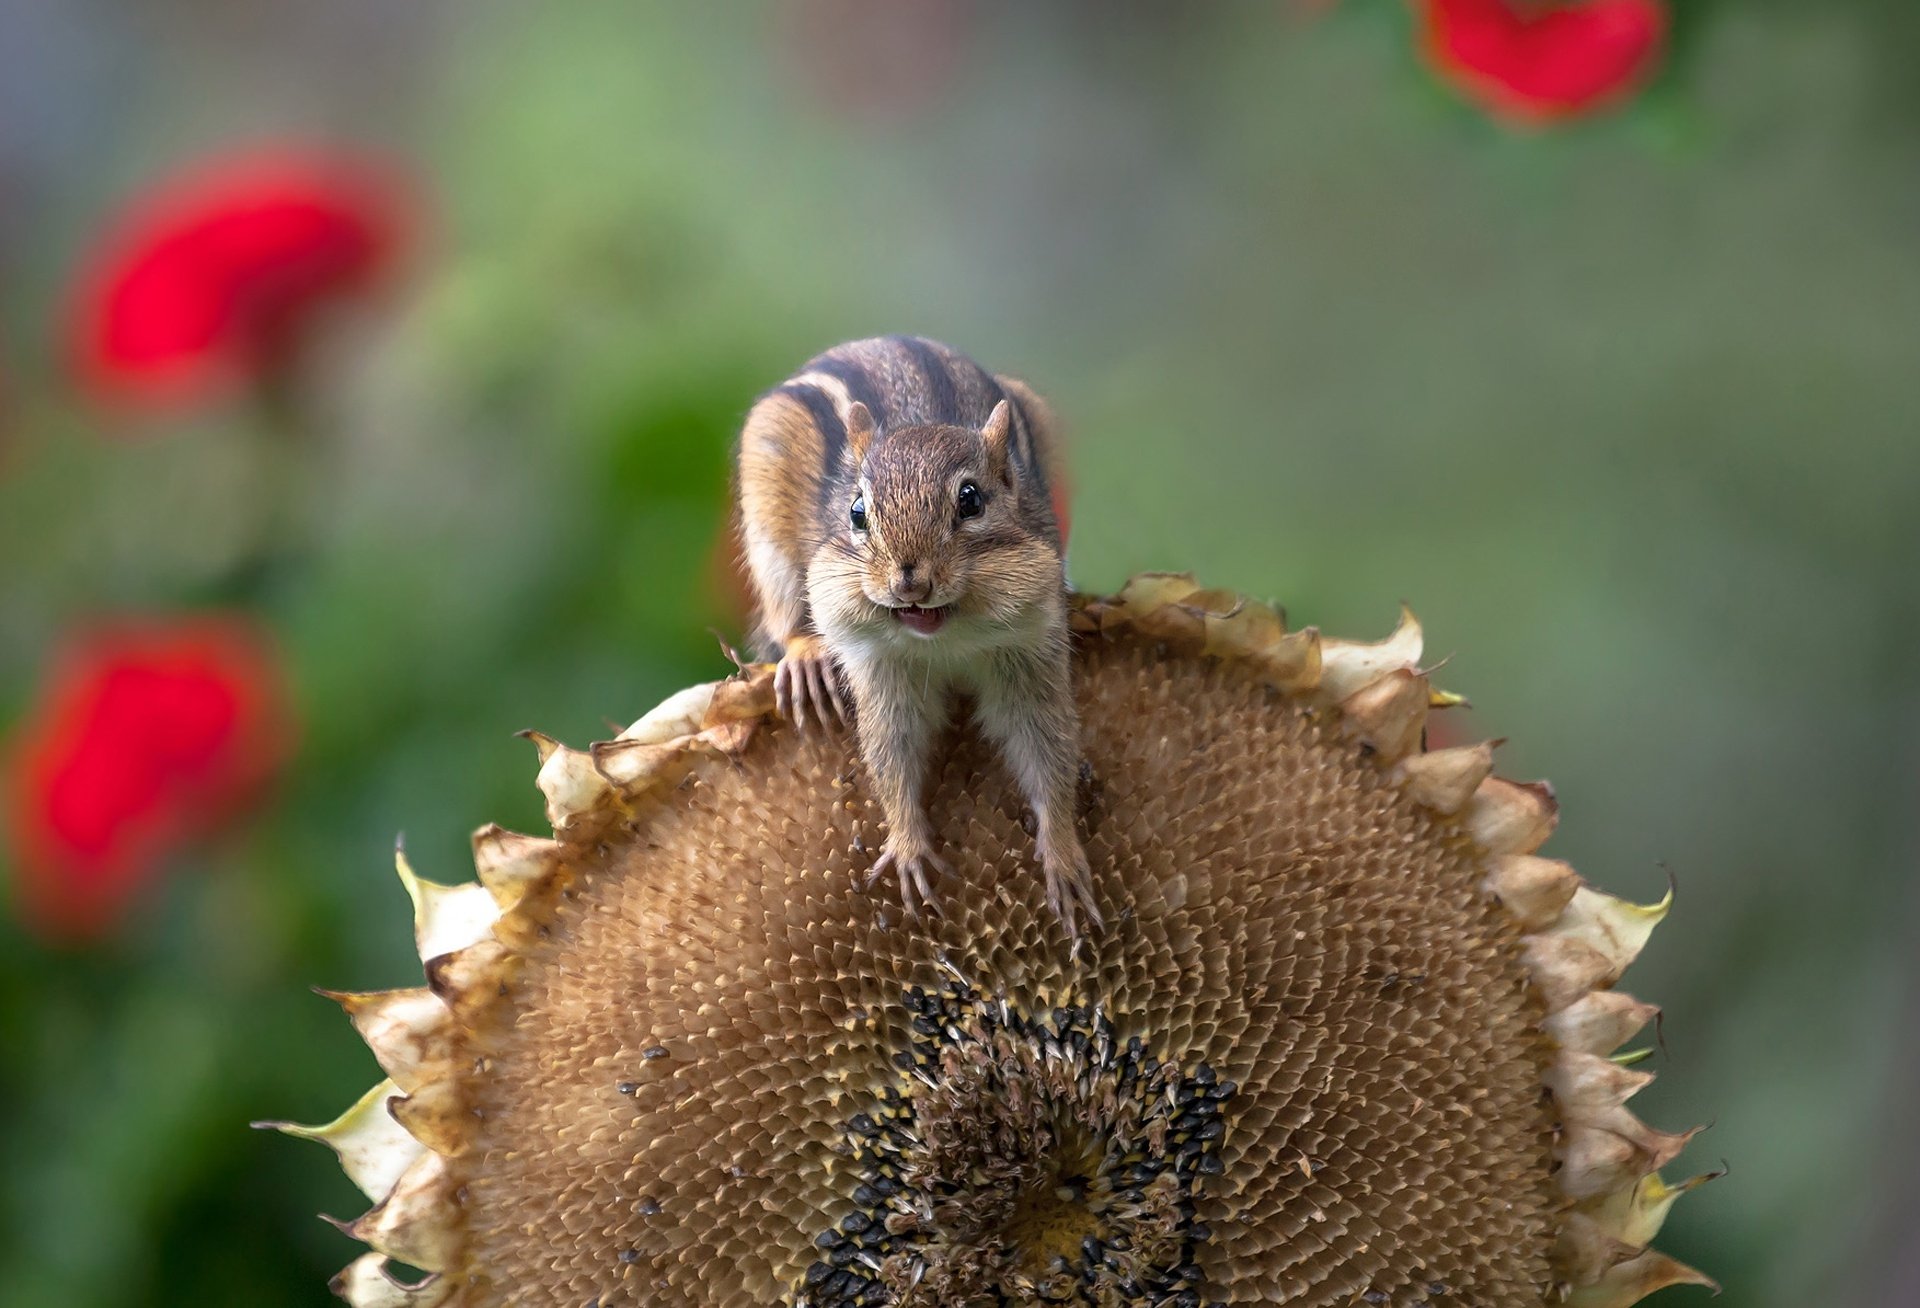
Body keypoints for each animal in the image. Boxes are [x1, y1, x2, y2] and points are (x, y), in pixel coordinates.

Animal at [734, 335, 1100, 936]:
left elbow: (1046, 746)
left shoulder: (1030, 650)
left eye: (972, 500)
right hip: (765, 521)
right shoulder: (881, 668)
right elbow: (891, 749)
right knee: (783, 611)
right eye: (857, 511)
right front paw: (907, 848)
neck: (948, 635)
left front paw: (1064, 857)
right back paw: (806, 659)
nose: (909, 581)